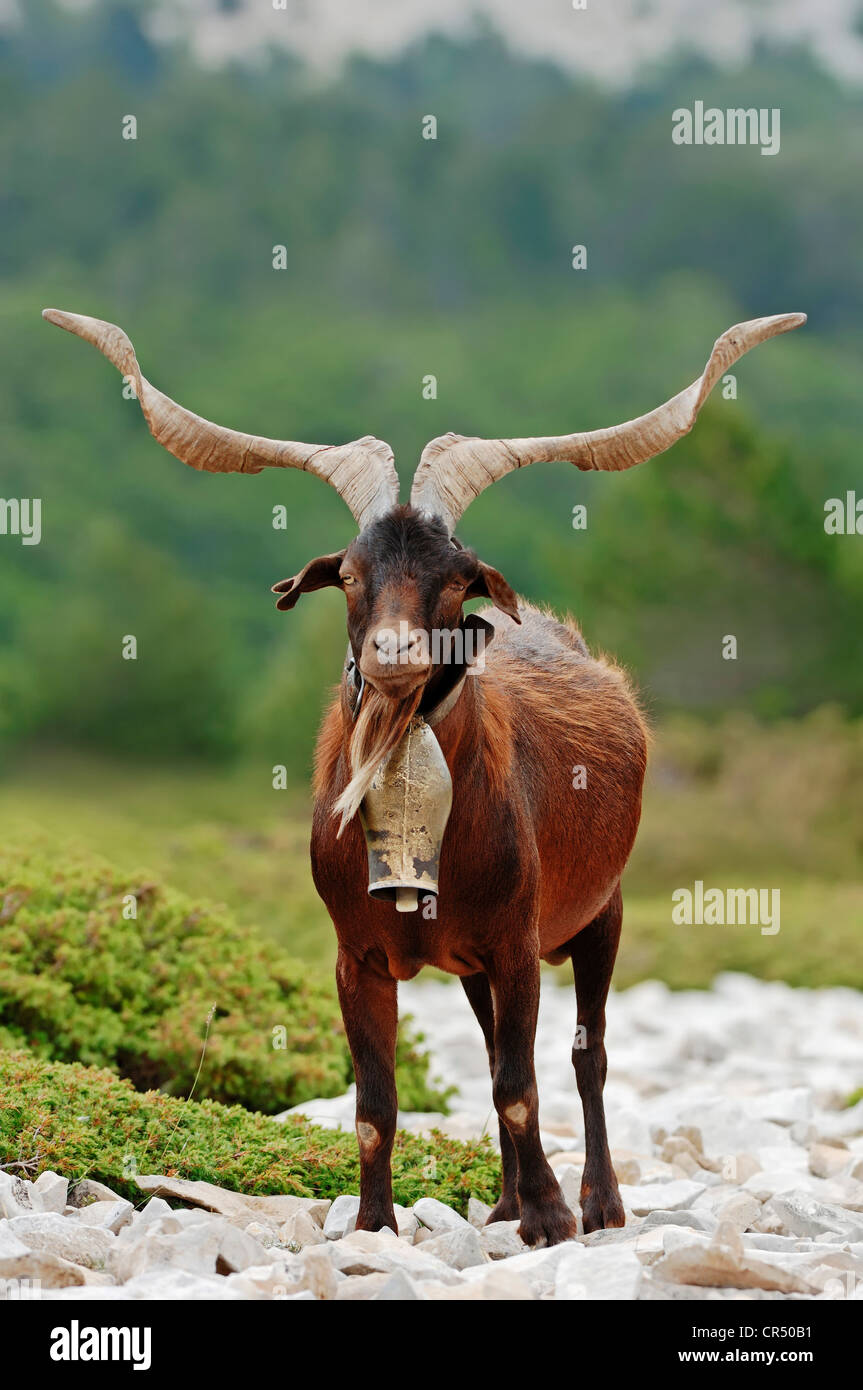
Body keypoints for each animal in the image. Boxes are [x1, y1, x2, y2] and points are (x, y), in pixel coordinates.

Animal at [44, 306, 805, 1246]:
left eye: (454, 580)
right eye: (351, 575)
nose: (395, 654)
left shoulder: (517, 941)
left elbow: (520, 1083)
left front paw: (550, 1218)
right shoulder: (358, 956)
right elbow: (378, 1101)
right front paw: (377, 1227)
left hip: (601, 911)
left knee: (584, 1053)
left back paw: (599, 1201)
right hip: (476, 960)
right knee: (491, 1047)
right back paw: (506, 1201)